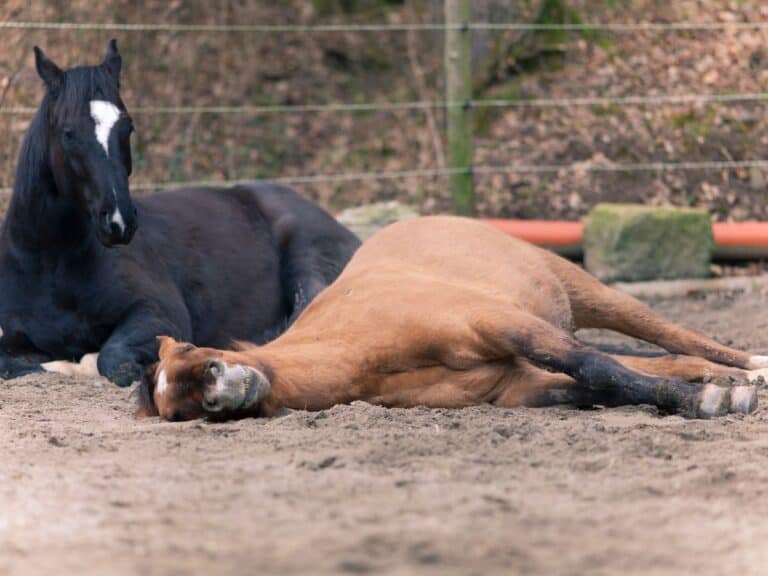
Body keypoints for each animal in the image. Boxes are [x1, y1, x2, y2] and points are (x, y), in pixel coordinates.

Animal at [0, 40, 360, 386]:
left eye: (127, 127)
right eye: (68, 132)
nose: (118, 222)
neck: (50, 264)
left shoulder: (158, 312)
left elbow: (111, 360)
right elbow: (13, 364)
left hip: (308, 261)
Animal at [138, 216, 766, 422]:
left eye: (196, 357)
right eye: (180, 411)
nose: (222, 390)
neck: (360, 349)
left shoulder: (499, 324)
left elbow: (597, 368)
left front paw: (712, 401)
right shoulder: (516, 387)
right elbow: (602, 384)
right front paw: (712, 394)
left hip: (585, 291)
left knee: (671, 334)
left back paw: (749, 365)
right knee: (662, 355)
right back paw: (735, 378)